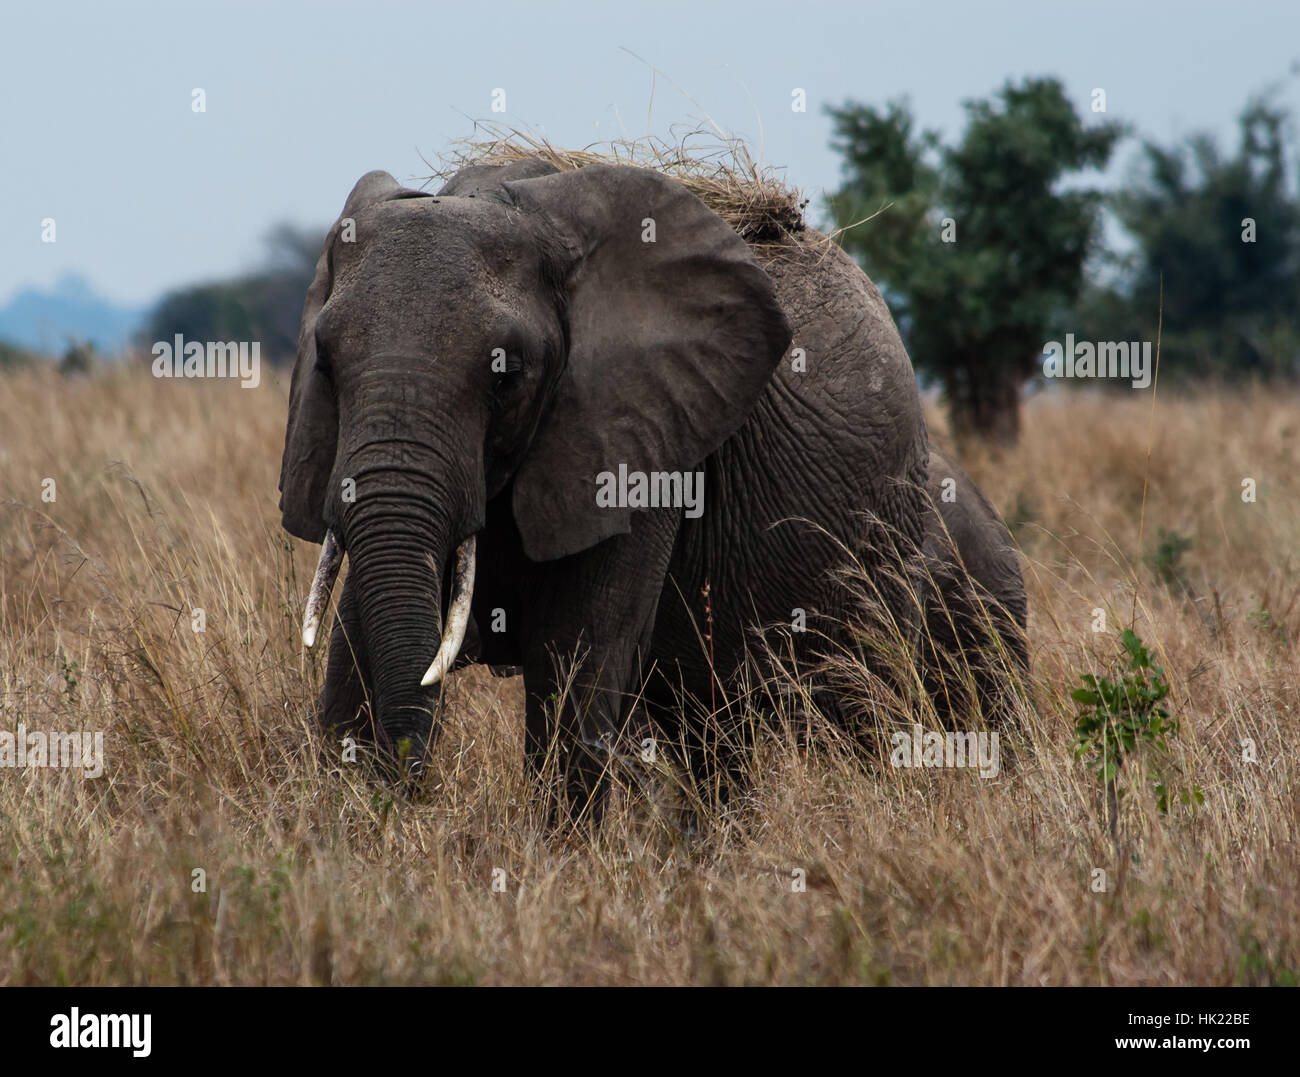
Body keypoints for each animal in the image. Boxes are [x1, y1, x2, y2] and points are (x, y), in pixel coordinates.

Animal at [279, 155, 931, 818]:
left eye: (506, 374)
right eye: (324, 363)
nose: (414, 785)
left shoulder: (641, 441)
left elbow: (573, 668)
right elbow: (353, 649)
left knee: (865, 704)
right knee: (710, 729)